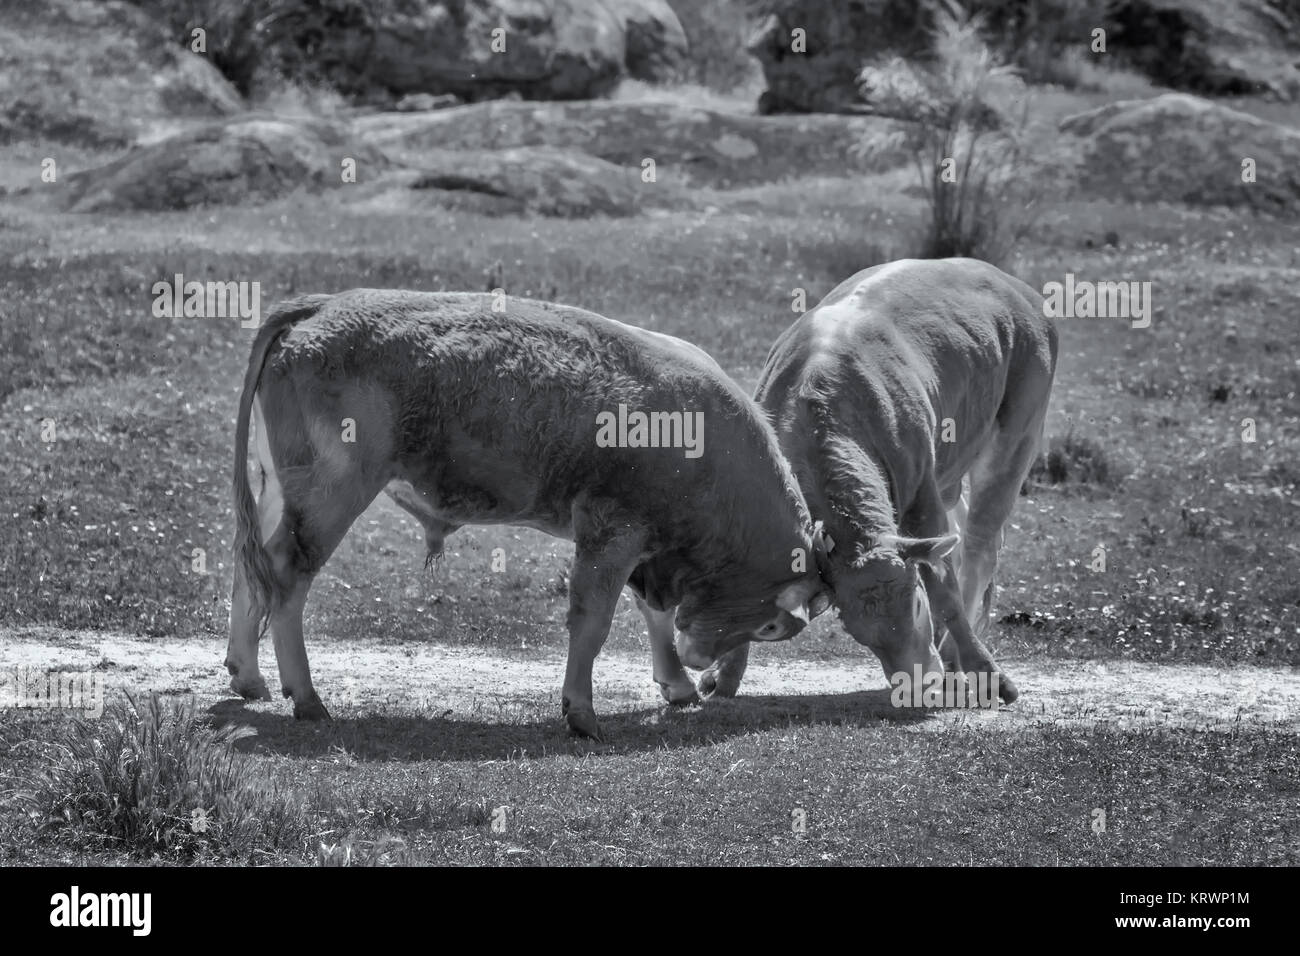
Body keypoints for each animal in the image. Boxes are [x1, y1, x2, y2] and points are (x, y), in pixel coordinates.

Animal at [227, 290, 829, 739]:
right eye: (772, 625)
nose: (704, 662)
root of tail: (321, 306)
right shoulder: (613, 533)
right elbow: (592, 621)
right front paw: (582, 714)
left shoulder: (642, 549)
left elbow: (652, 613)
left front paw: (676, 685)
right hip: (332, 496)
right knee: (286, 575)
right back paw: (307, 699)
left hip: (278, 492)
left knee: (251, 566)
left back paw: (247, 678)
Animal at [697, 258, 1058, 704]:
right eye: (857, 631)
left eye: (916, 603)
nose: (918, 683)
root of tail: (1012, 285)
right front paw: (724, 675)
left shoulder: (922, 495)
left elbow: (946, 591)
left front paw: (989, 674)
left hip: (1017, 435)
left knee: (979, 546)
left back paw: (957, 655)